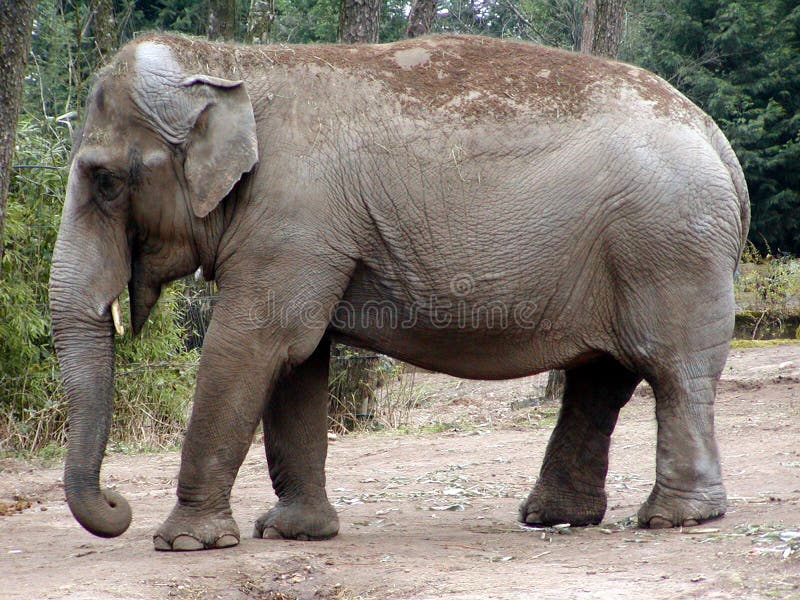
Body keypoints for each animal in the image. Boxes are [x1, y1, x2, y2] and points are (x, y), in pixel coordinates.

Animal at [49, 33, 750, 551]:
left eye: (106, 181)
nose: (117, 502)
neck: (231, 63)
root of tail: (716, 136)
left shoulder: (295, 216)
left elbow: (257, 343)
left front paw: (186, 543)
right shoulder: (303, 232)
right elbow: (299, 360)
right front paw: (294, 533)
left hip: (668, 246)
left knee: (673, 370)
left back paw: (673, 519)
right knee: (602, 377)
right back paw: (557, 517)